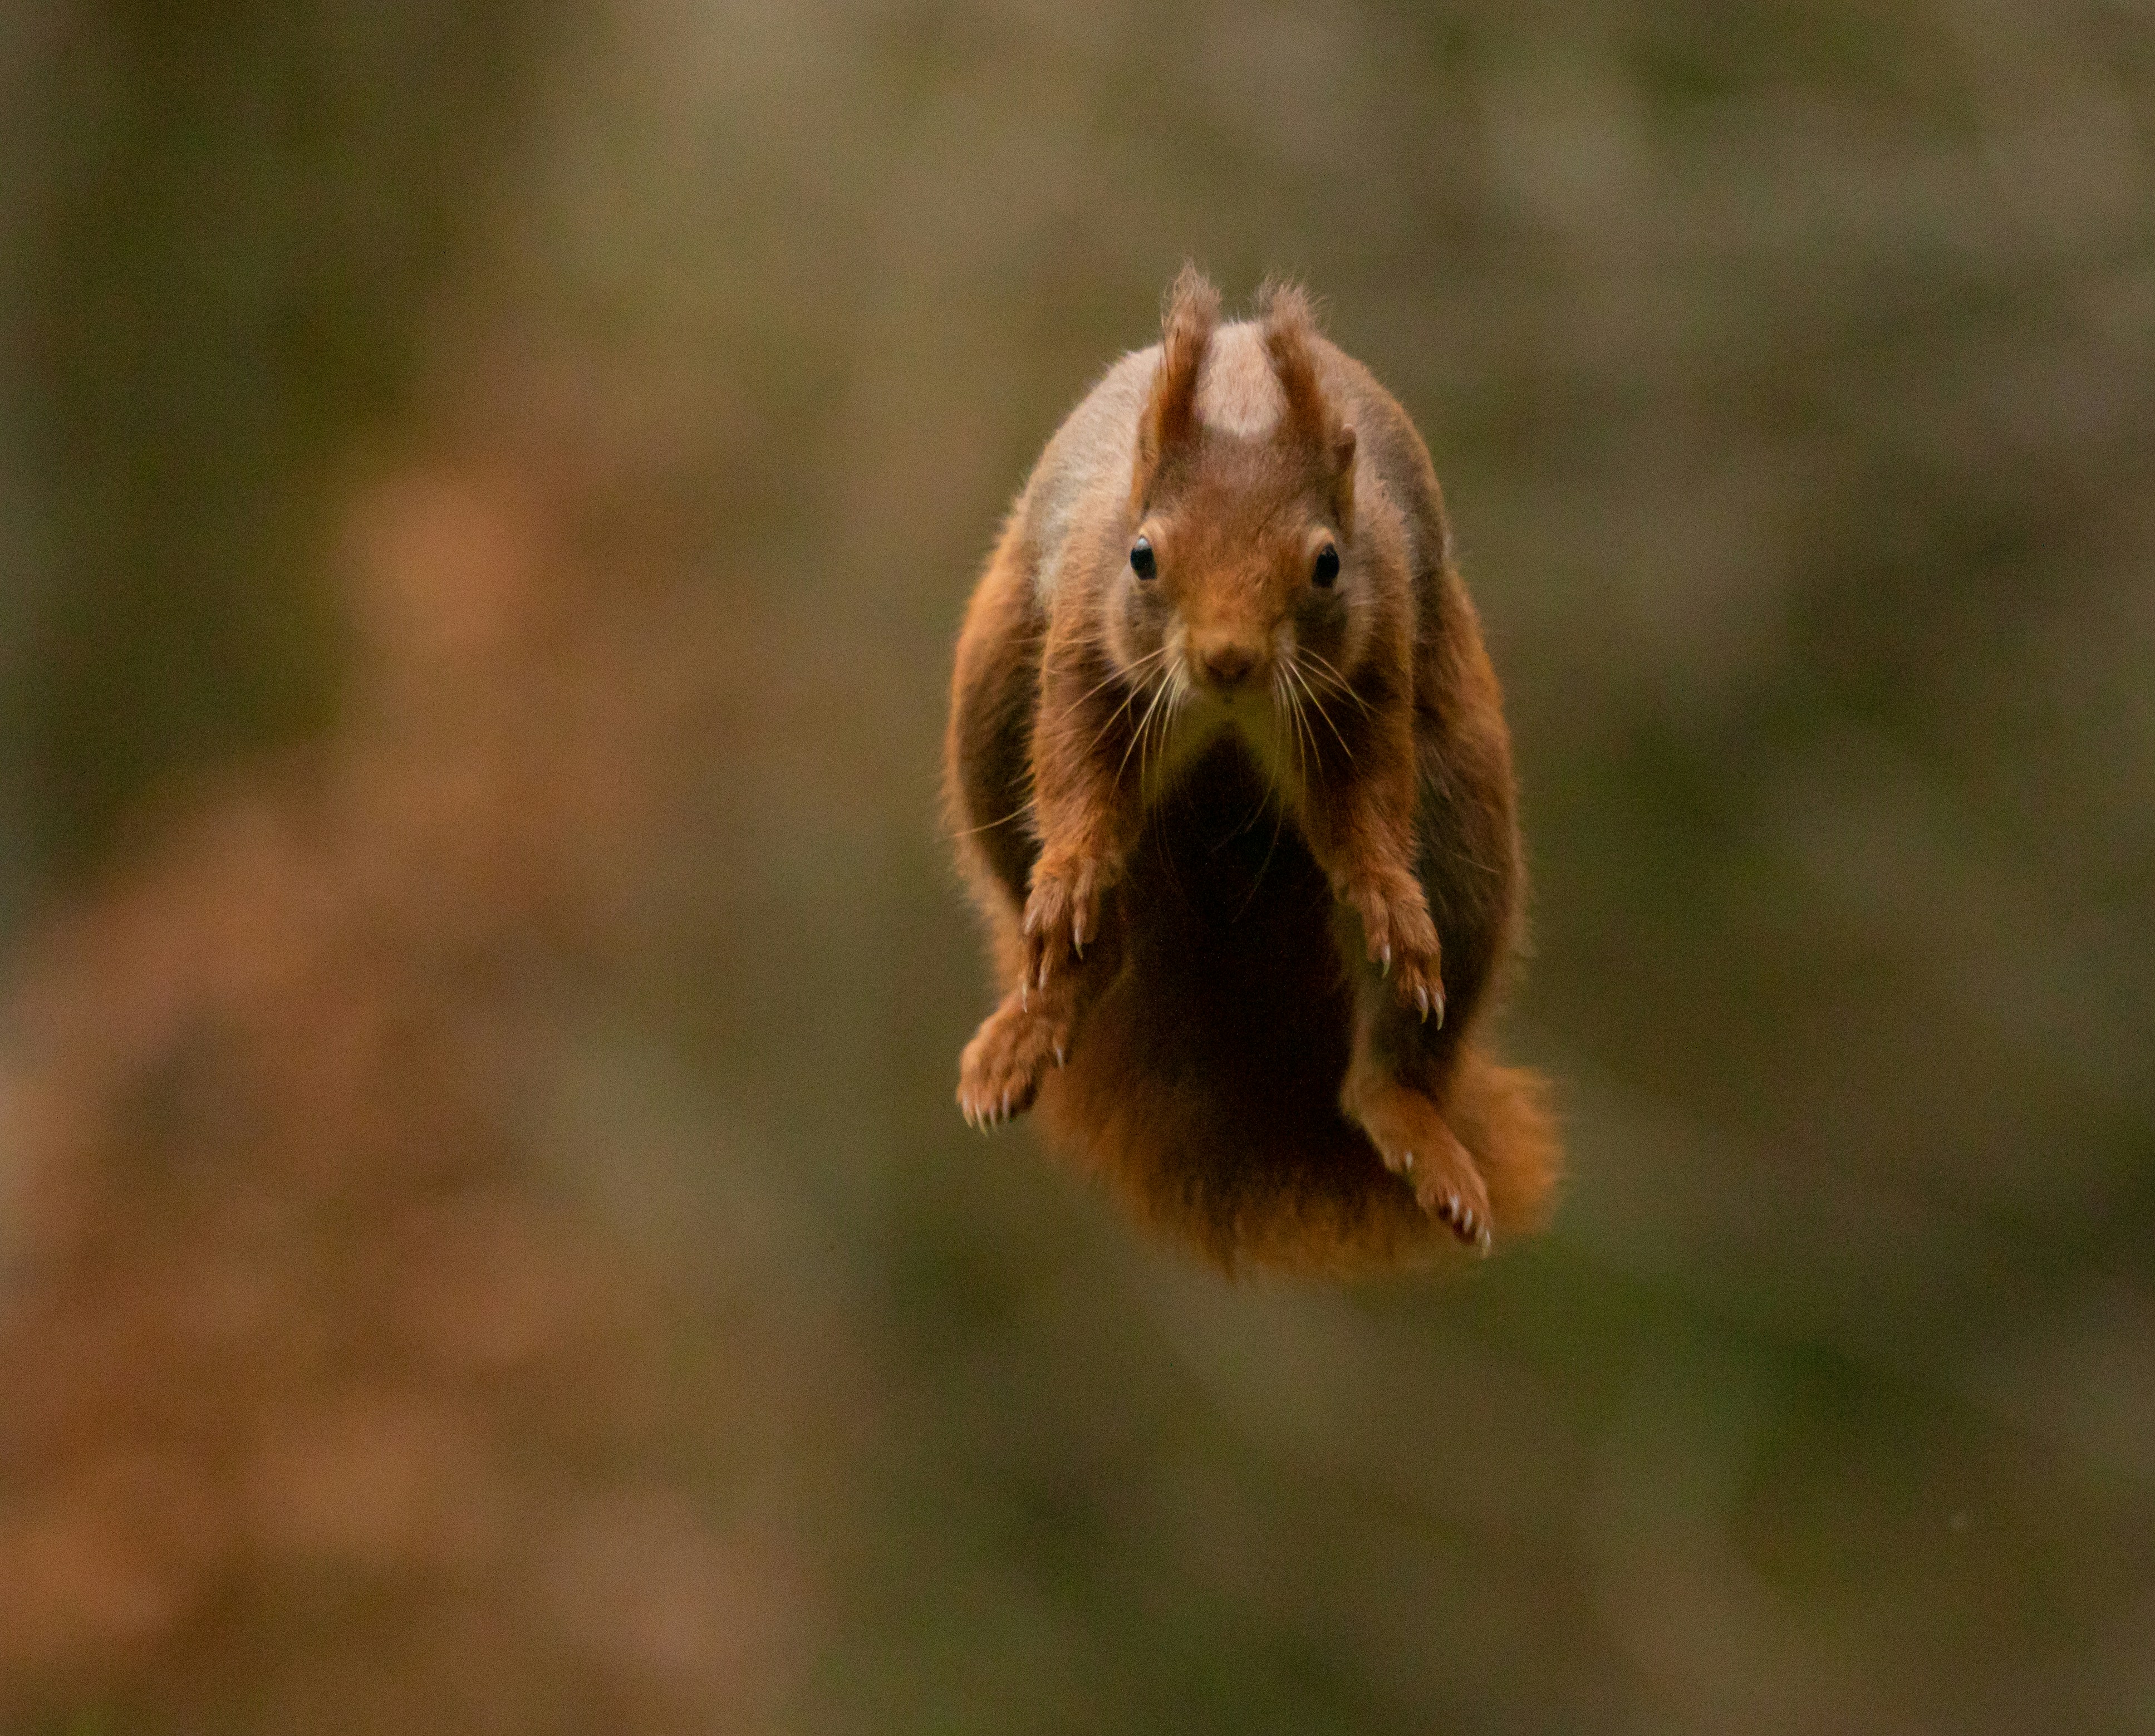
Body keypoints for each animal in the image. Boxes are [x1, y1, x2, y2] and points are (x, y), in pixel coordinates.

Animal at [945, 268, 1558, 1272]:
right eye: (1142, 555)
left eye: (1326, 563)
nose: (1226, 660)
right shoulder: (1082, 632)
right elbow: (1073, 764)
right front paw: (1070, 871)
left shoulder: (1377, 657)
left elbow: (1370, 802)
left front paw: (1388, 896)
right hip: (990, 720)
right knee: (1084, 941)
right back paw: (1037, 1017)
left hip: (1465, 841)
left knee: (1391, 1062)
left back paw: (1413, 1121)